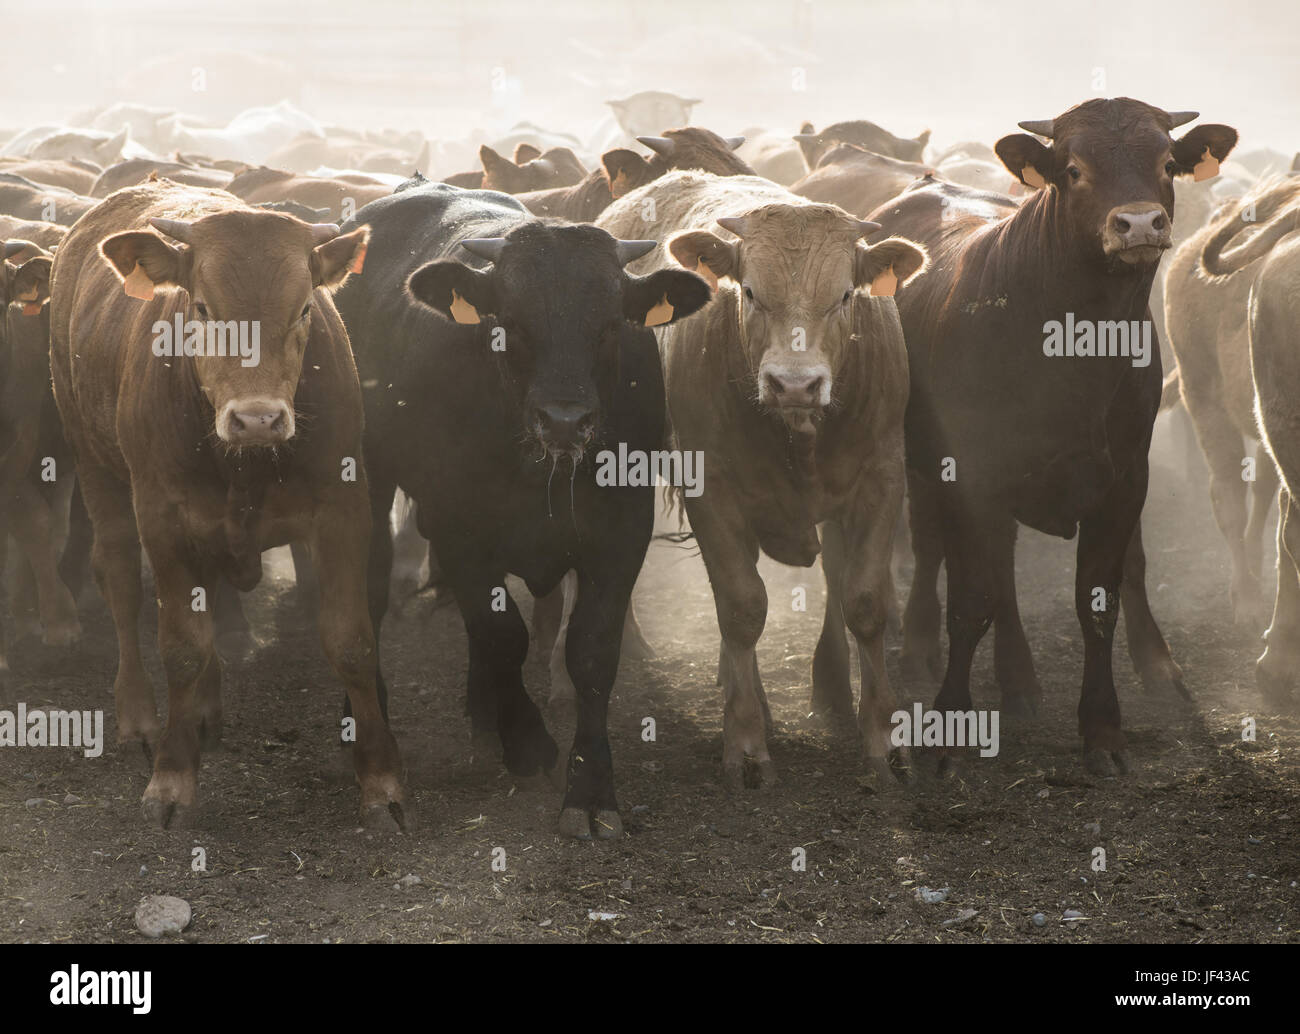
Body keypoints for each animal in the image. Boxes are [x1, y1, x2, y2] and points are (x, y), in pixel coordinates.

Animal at [48, 181, 404, 830]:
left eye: (305, 309)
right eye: (204, 309)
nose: (257, 418)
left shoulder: (344, 506)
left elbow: (351, 640)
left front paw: (381, 779)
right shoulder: (161, 517)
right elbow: (182, 647)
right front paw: (171, 776)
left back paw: (205, 710)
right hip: (95, 465)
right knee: (118, 581)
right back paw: (140, 715)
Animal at [332, 181, 709, 837]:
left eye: (609, 324)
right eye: (509, 323)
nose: (564, 420)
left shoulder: (622, 532)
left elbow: (590, 652)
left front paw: (590, 789)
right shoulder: (458, 528)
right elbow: (501, 634)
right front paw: (530, 743)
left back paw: (484, 711)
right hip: (371, 480)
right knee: (373, 593)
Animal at [598, 171, 927, 788]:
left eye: (844, 296)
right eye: (749, 292)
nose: (794, 385)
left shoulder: (881, 478)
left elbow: (865, 603)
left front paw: (885, 741)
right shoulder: (712, 491)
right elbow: (742, 608)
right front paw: (747, 743)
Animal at [866, 98, 1237, 774]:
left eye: (1167, 164)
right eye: (1073, 169)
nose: (1138, 223)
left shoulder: (1123, 479)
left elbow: (1097, 600)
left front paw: (1103, 731)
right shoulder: (973, 475)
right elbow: (971, 601)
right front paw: (951, 727)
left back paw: (1021, 681)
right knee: (951, 559)